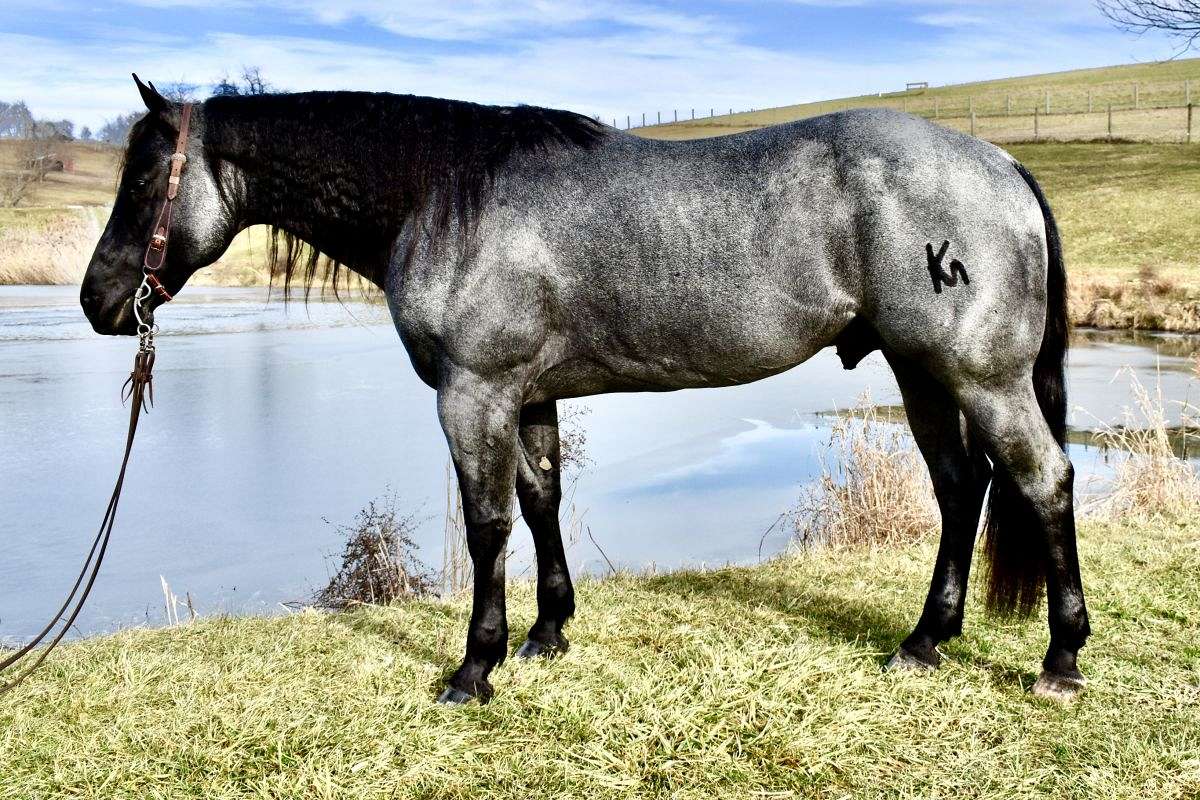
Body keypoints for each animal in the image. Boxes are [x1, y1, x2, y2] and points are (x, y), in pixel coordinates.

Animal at [81, 76, 1089, 704]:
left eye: (142, 181)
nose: (97, 301)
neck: (444, 197)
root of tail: (1001, 167)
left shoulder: (473, 395)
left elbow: (488, 525)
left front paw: (474, 668)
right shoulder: (526, 396)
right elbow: (541, 501)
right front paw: (547, 633)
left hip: (983, 378)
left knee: (1043, 483)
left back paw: (1061, 659)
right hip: (923, 374)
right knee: (961, 489)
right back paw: (924, 642)